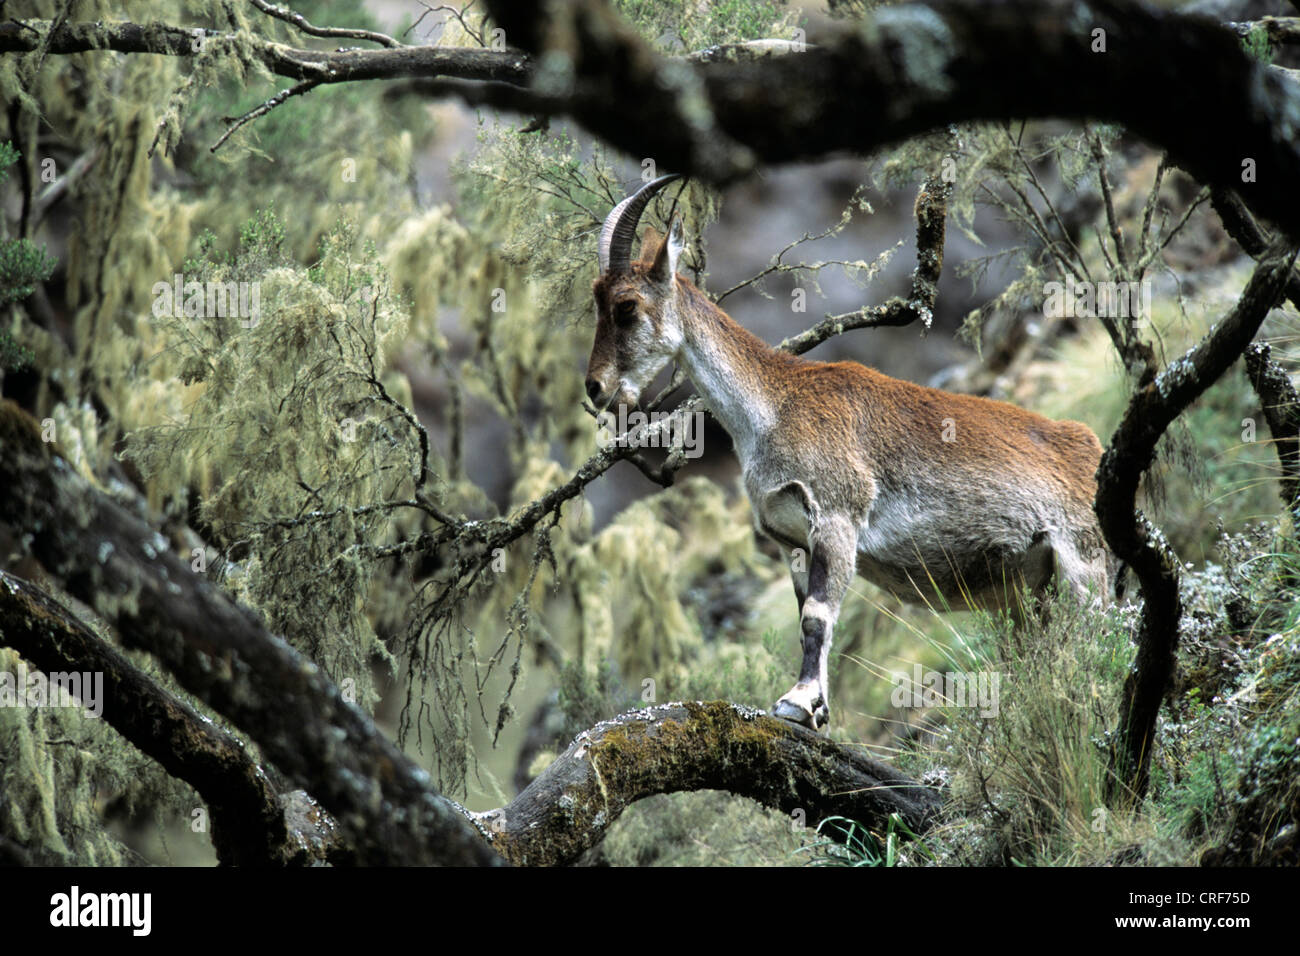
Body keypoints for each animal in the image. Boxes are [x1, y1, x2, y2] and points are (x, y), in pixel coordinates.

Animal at [584, 175, 1111, 730]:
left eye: (626, 306)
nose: (595, 388)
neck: (773, 407)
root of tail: (1088, 447)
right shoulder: (789, 537)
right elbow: (806, 616)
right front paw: (817, 710)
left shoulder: (837, 514)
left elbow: (817, 616)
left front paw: (796, 703)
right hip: (1031, 593)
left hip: (1083, 568)